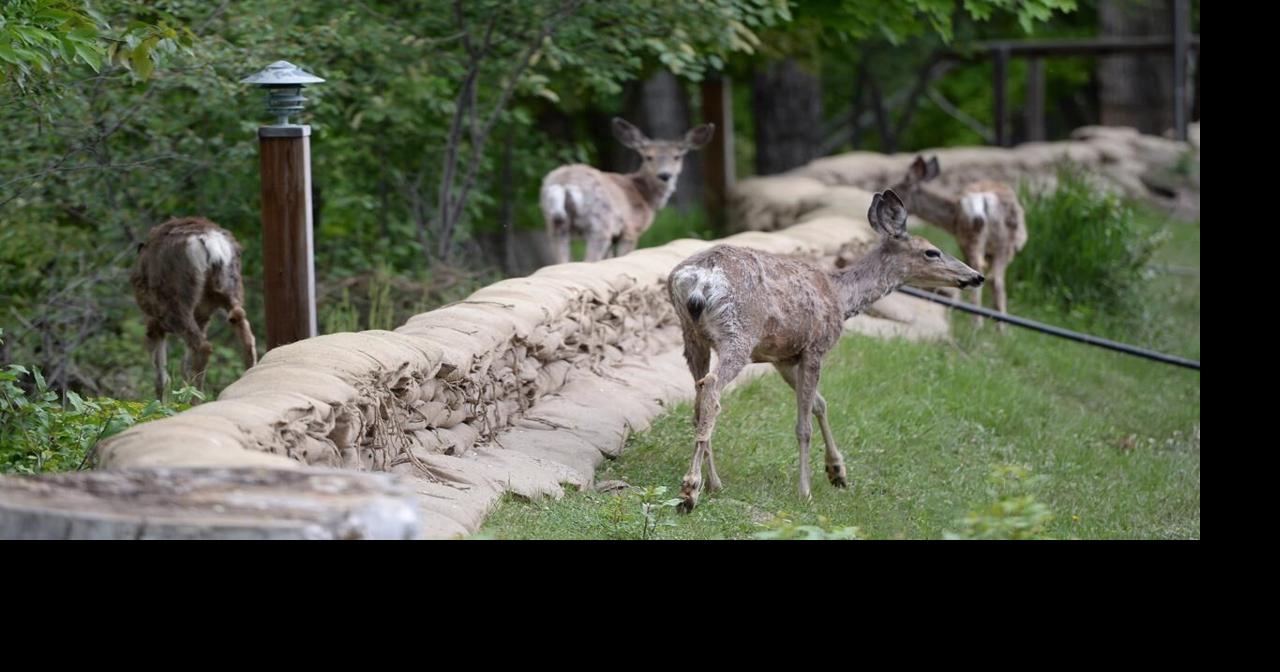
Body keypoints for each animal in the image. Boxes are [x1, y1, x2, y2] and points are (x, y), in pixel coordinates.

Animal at [130, 217, 257, 400]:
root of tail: (211, 241)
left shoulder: (153, 323)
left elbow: (162, 376)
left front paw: (161, 403)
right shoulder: (202, 317)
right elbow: (184, 365)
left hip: (175, 303)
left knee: (203, 348)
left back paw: (196, 400)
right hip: (229, 290)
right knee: (245, 333)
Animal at [540, 117, 714, 265]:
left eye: (677, 156)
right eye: (648, 157)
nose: (665, 175)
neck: (644, 196)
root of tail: (565, 183)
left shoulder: (615, 236)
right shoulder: (631, 229)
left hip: (556, 225)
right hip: (600, 224)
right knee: (589, 259)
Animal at [667, 190, 984, 511]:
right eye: (932, 251)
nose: (975, 276)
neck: (841, 298)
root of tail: (698, 279)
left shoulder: (782, 357)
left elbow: (820, 403)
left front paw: (837, 472)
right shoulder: (816, 346)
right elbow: (803, 425)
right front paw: (805, 491)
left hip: (692, 335)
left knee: (699, 396)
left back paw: (713, 483)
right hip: (739, 334)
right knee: (712, 389)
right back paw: (691, 490)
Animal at [889, 155, 1028, 330]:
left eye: (898, 188)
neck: (951, 218)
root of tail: (984, 200)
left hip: (975, 237)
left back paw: (980, 324)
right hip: (998, 242)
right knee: (993, 279)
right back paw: (995, 328)